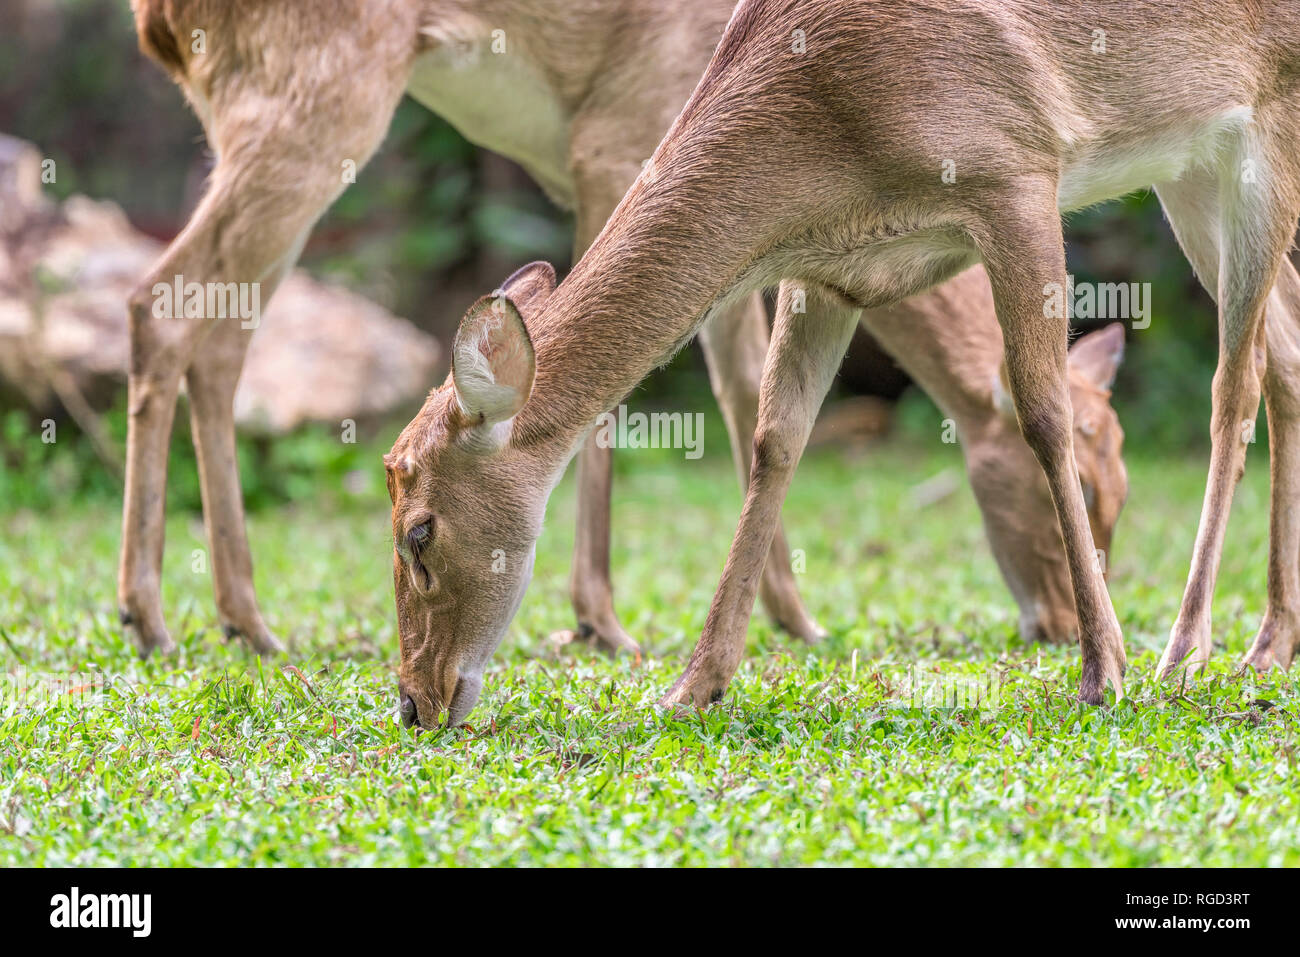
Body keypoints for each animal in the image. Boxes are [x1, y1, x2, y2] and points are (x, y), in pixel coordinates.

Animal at [123, 0, 1126, 669]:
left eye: (1119, 488)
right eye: (1078, 483)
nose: (1060, 622)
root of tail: (154, 22)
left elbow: (735, 385)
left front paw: (791, 616)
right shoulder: (617, 142)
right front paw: (603, 617)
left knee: (224, 334)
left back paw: (245, 618)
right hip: (311, 107)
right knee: (159, 303)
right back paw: (151, 616)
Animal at [385, 0, 1300, 726]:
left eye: (419, 532)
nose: (415, 702)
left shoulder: (1015, 170)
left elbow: (1042, 412)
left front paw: (1102, 670)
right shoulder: (828, 276)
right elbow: (774, 442)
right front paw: (693, 684)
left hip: (1264, 132)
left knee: (1234, 380)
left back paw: (1183, 649)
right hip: (1190, 168)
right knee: (1282, 354)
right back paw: (1266, 643)